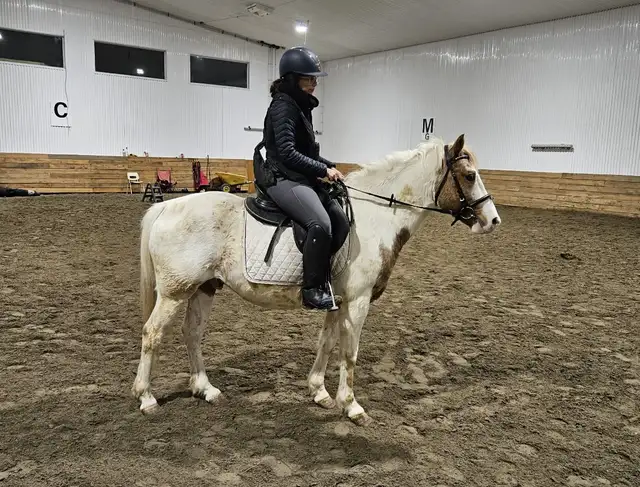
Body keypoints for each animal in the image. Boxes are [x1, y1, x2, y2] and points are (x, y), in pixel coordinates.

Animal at [131, 134, 501, 426]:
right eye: (469, 176)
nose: (493, 220)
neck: (376, 217)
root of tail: (165, 208)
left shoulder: (336, 300)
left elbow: (327, 342)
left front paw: (319, 392)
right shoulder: (358, 302)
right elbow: (350, 352)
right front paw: (351, 406)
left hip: (204, 288)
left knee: (191, 333)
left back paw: (205, 389)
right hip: (175, 293)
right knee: (152, 334)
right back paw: (146, 397)